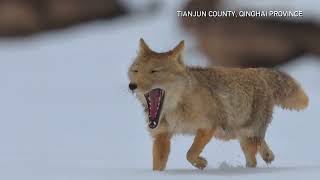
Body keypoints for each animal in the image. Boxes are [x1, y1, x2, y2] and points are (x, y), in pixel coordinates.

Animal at [127, 38, 308, 171]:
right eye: (135, 71)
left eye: (154, 71)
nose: (132, 85)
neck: (176, 109)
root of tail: (256, 70)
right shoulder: (162, 136)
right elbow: (158, 166)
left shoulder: (208, 127)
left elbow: (190, 154)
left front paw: (202, 163)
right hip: (234, 134)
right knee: (259, 145)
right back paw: (268, 155)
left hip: (243, 134)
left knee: (254, 155)